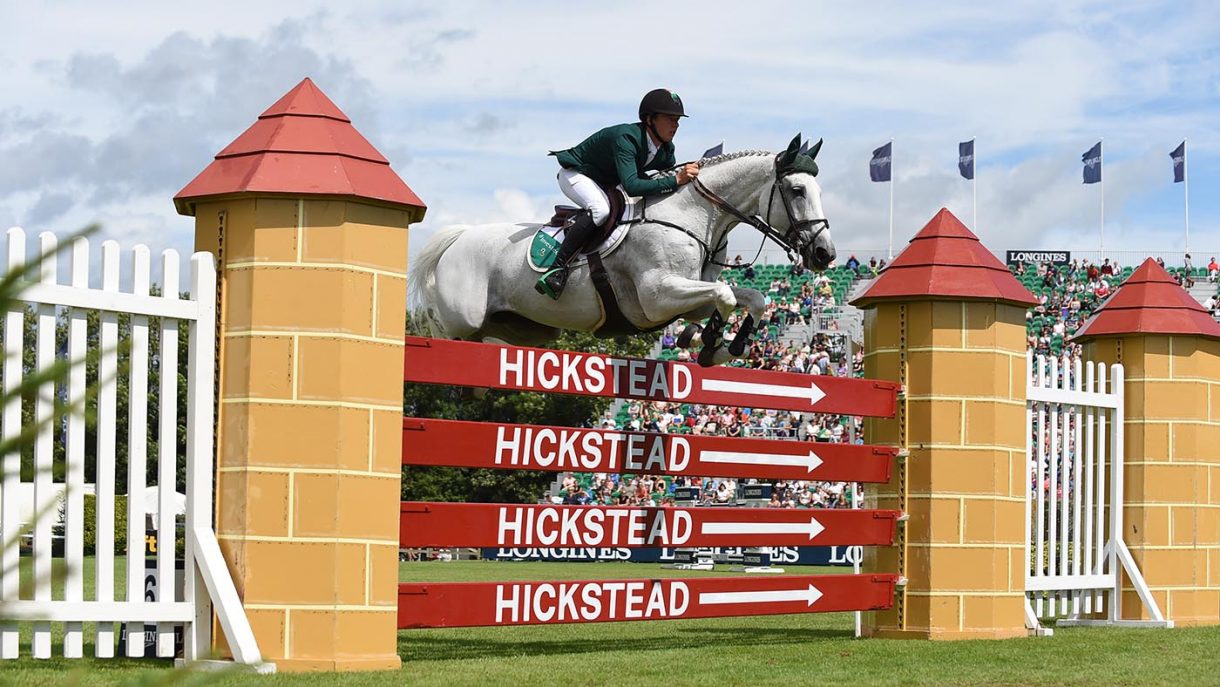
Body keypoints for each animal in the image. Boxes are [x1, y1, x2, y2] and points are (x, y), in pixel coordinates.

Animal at [408, 135, 835, 366]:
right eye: (797, 191)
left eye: (817, 189)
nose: (825, 254)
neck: (693, 214)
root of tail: (459, 237)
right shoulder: (657, 296)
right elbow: (726, 295)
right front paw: (710, 341)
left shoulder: (689, 296)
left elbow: (749, 298)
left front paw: (718, 346)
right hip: (459, 324)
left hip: (519, 330)